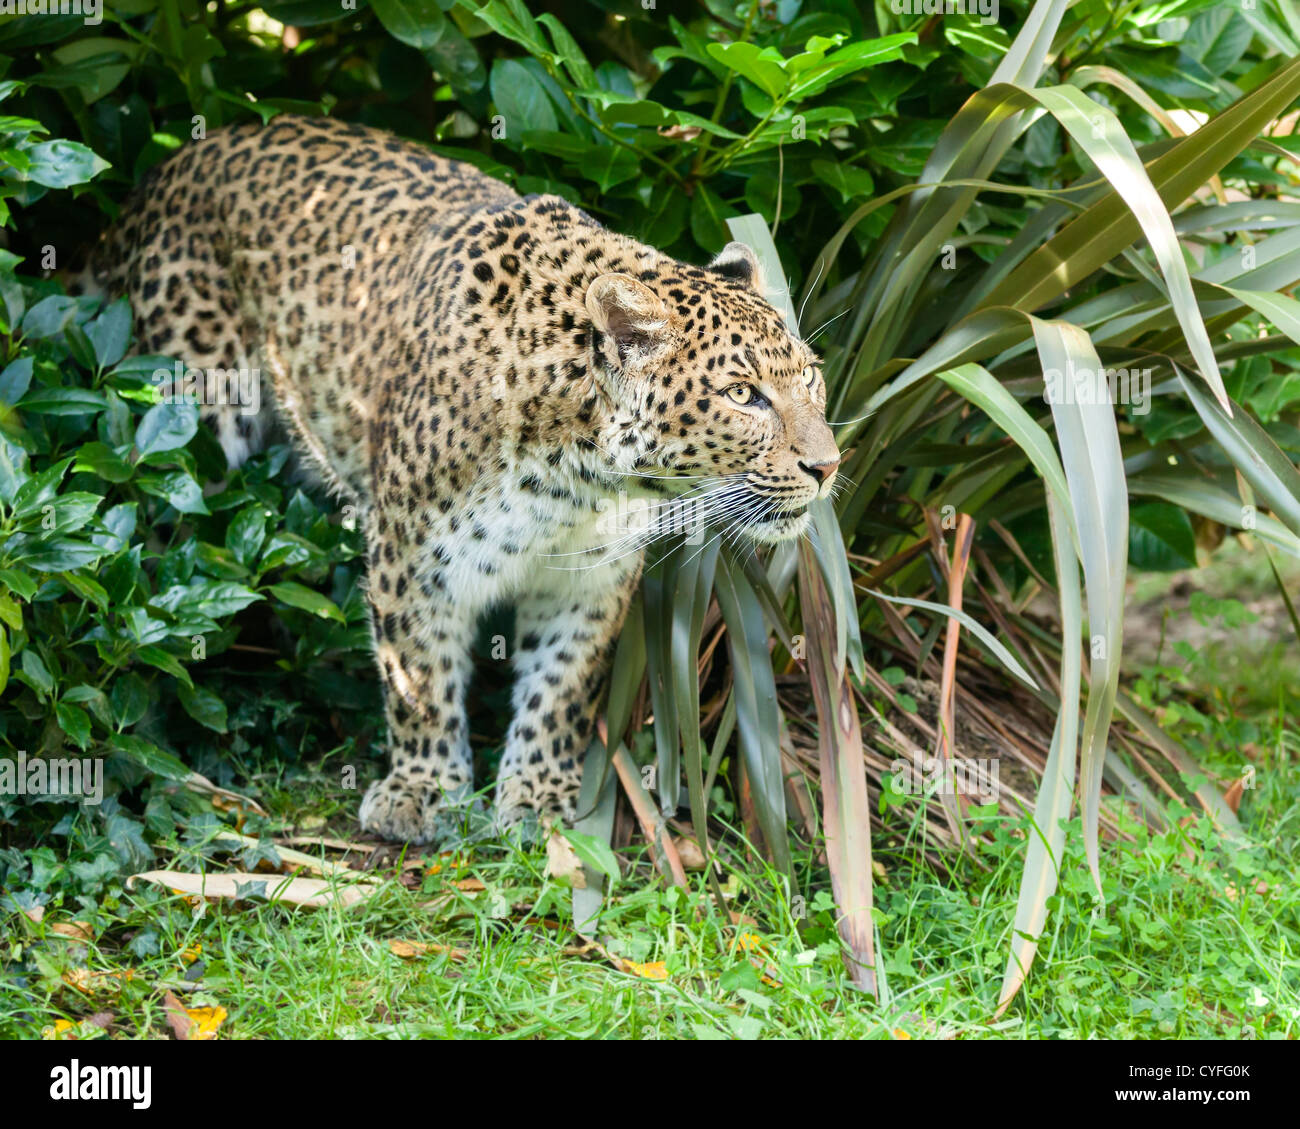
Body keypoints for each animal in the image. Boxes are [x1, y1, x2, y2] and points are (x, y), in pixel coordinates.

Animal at [78, 114, 840, 842]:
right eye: (744, 396)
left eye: (810, 377)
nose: (828, 465)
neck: (580, 480)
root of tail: (174, 164)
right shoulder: (411, 556)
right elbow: (418, 675)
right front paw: (421, 790)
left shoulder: (589, 576)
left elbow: (561, 685)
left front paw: (539, 796)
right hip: (198, 417)